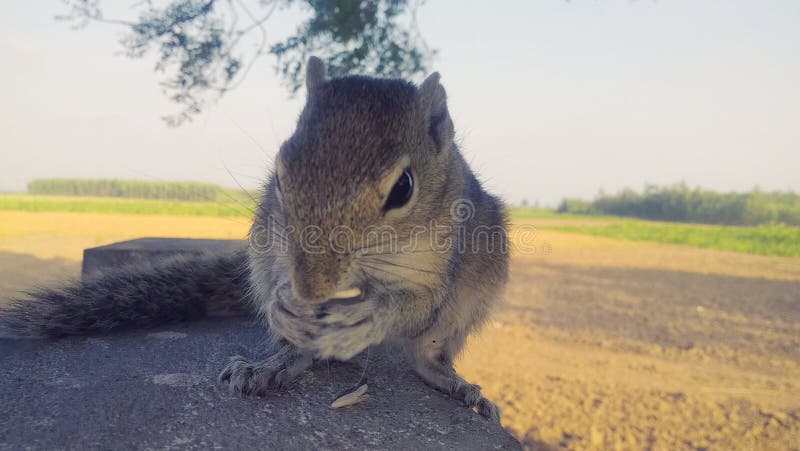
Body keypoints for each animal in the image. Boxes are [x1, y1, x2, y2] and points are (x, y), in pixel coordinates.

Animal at [0, 57, 510, 422]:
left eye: (404, 187)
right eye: (279, 175)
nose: (310, 289)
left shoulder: (441, 269)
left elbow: (413, 306)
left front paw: (374, 312)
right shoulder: (275, 251)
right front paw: (285, 306)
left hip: (471, 296)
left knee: (427, 354)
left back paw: (454, 384)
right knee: (299, 352)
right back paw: (274, 364)